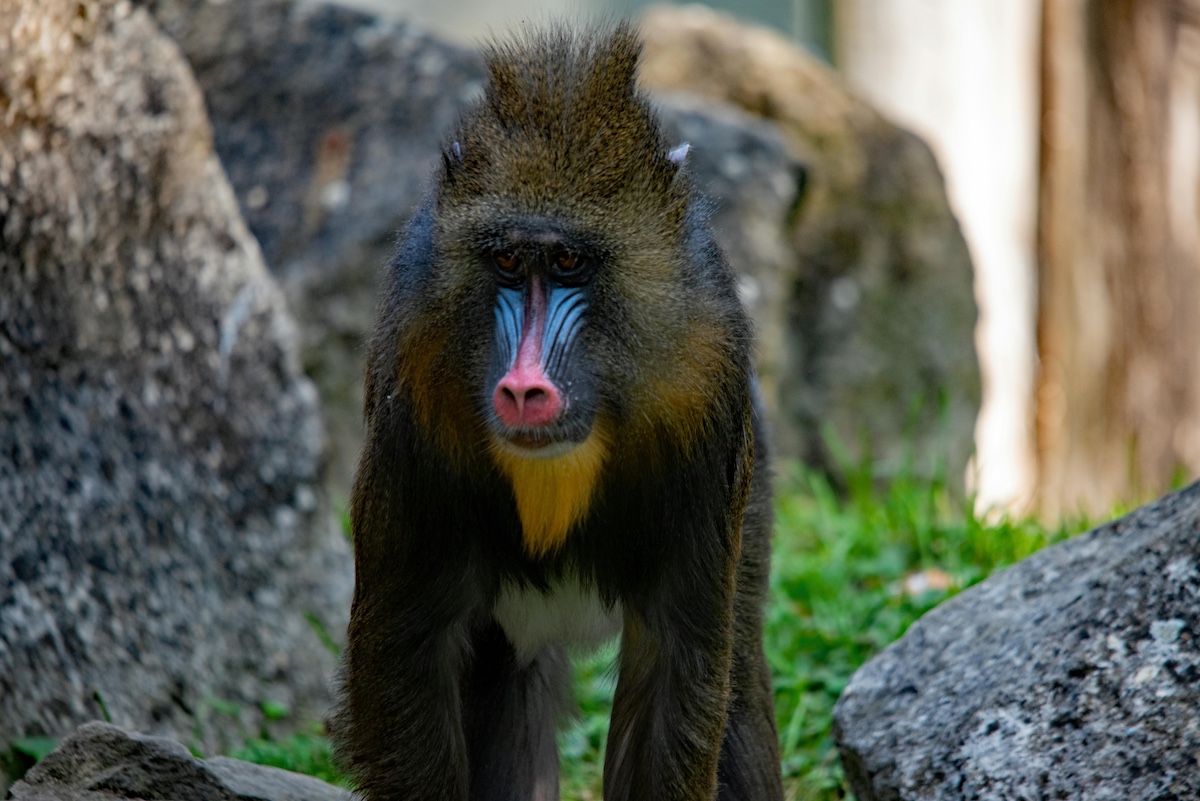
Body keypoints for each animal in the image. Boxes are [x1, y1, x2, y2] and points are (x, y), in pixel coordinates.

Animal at [332, 21, 783, 801]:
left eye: (569, 262)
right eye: (510, 263)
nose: (524, 387)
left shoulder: (706, 399)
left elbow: (678, 674)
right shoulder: (413, 392)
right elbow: (409, 658)